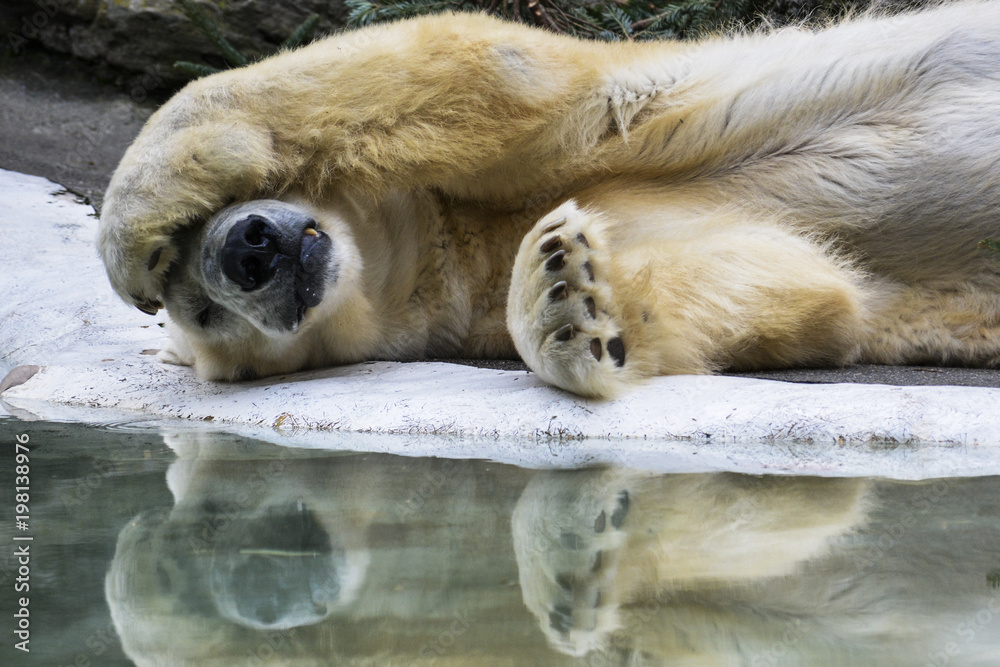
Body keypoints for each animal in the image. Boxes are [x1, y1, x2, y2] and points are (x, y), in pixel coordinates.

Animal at [97, 3, 1000, 397]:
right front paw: (568, 296)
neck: (453, 247)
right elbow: (796, 285)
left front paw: (133, 226)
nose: (246, 248)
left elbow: (493, 69)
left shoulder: (572, 138)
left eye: (193, 258)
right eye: (208, 317)